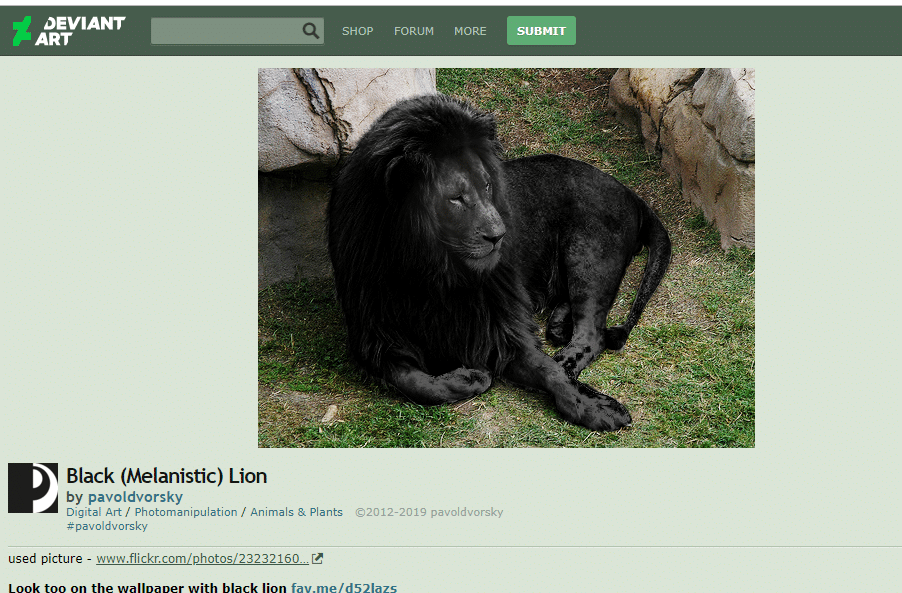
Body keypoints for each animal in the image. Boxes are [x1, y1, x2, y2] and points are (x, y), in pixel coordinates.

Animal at [327, 94, 671, 432]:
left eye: (488, 186)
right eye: (456, 198)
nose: (500, 235)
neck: (434, 274)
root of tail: (631, 193)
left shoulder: (501, 328)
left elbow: (549, 372)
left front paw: (594, 407)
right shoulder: (377, 336)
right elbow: (412, 382)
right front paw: (469, 379)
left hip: (589, 255)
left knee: (593, 334)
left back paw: (566, 358)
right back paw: (559, 323)